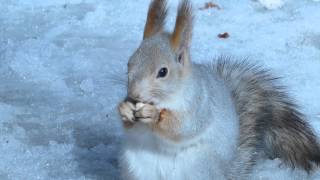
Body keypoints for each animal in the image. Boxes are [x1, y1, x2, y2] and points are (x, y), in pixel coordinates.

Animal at [117, 0, 320, 179]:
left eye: (163, 72)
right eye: (129, 62)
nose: (134, 94)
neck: (168, 97)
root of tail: (224, 173)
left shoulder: (200, 103)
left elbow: (184, 127)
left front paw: (153, 115)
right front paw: (124, 108)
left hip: (198, 165)